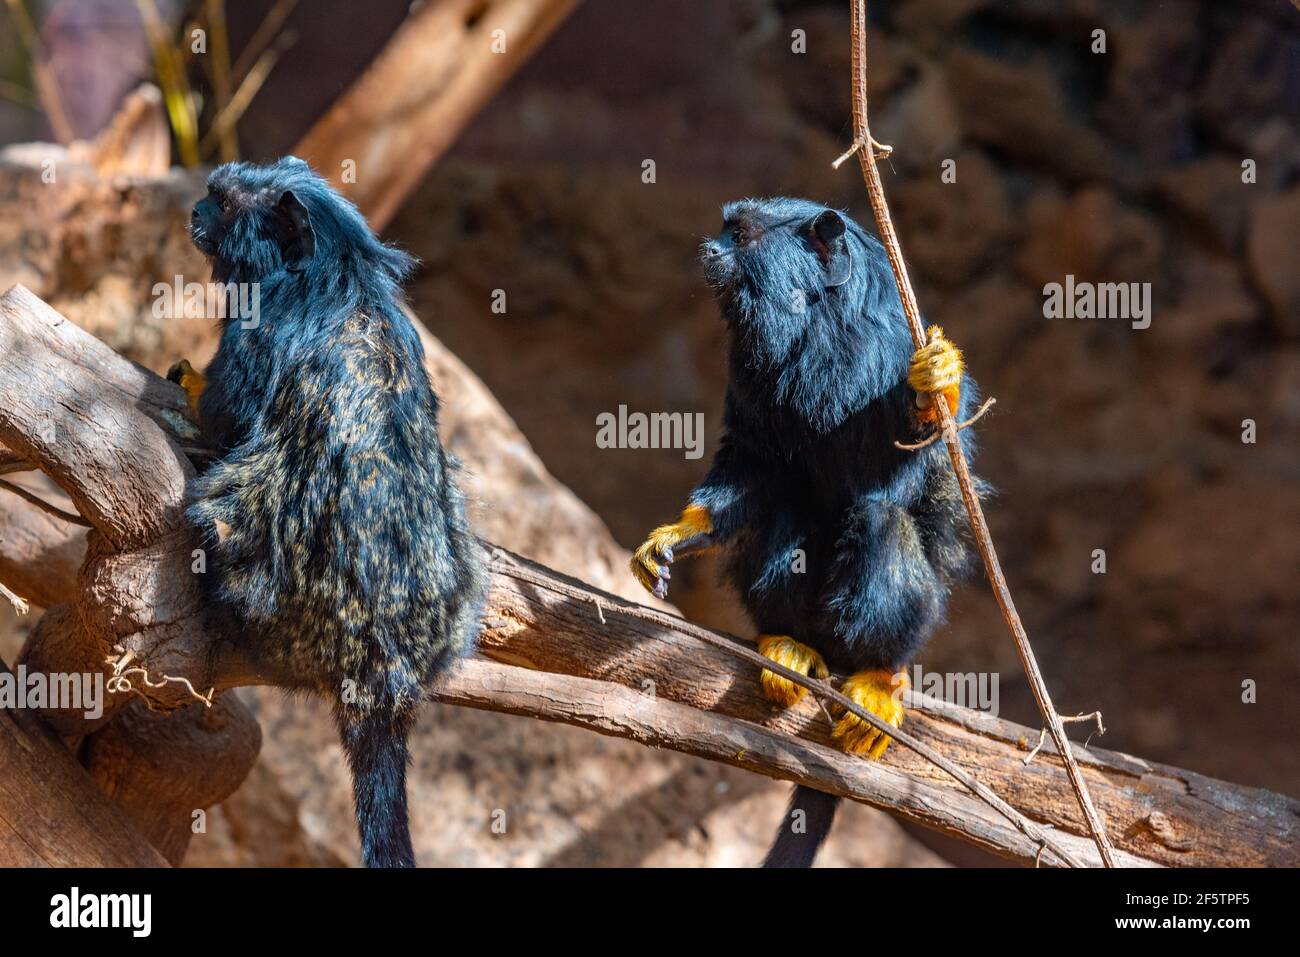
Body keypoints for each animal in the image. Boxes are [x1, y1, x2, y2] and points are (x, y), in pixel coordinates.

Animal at [171, 156, 485, 868]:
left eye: (221, 203)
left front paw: (192, 388)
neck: (341, 274)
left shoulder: (261, 330)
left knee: (225, 517)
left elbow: (228, 415)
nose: (194, 213)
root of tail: (385, 673)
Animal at [630, 197, 983, 868]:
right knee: (789, 510)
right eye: (724, 229)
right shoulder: (750, 372)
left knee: (881, 522)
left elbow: (904, 479)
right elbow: (754, 461)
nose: (707, 248)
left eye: (739, 236)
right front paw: (681, 533)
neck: (818, 333)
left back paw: (879, 673)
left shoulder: (886, 349)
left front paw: (939, 384)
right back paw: (790, 642)